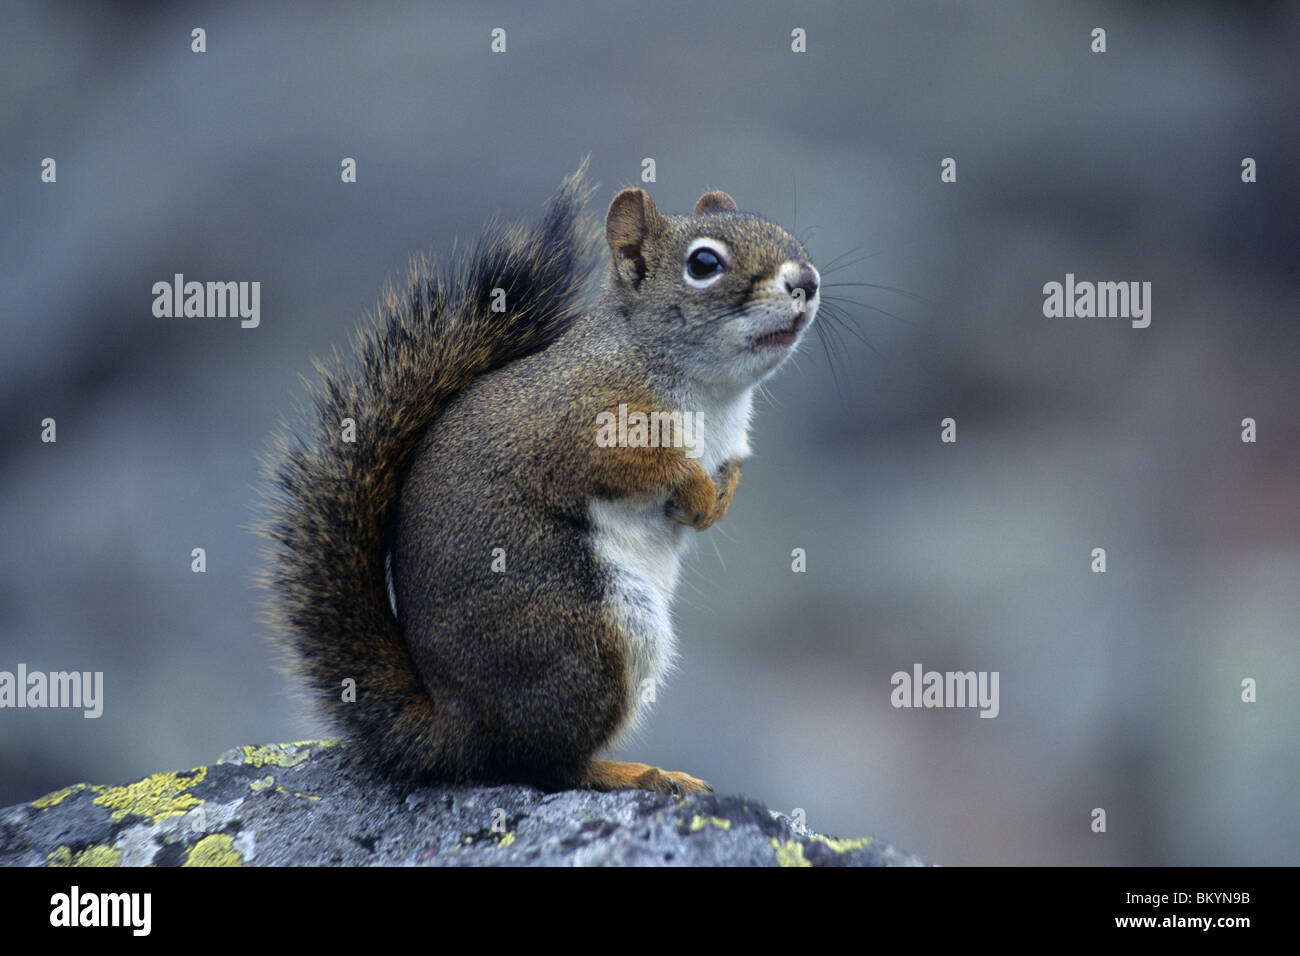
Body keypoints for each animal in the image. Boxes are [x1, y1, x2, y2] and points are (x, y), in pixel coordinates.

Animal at [260, 161, 819, 795]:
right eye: (704, 263)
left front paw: (711, 505)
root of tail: (460, 726)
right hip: (589, 630)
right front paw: (693, 490)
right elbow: (641, 467)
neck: (711, 392)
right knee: (545, 763)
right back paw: (632, 772)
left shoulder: (732, 448)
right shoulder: (586, 425)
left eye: (786, 237)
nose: (806, 281)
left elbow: (729, 475)